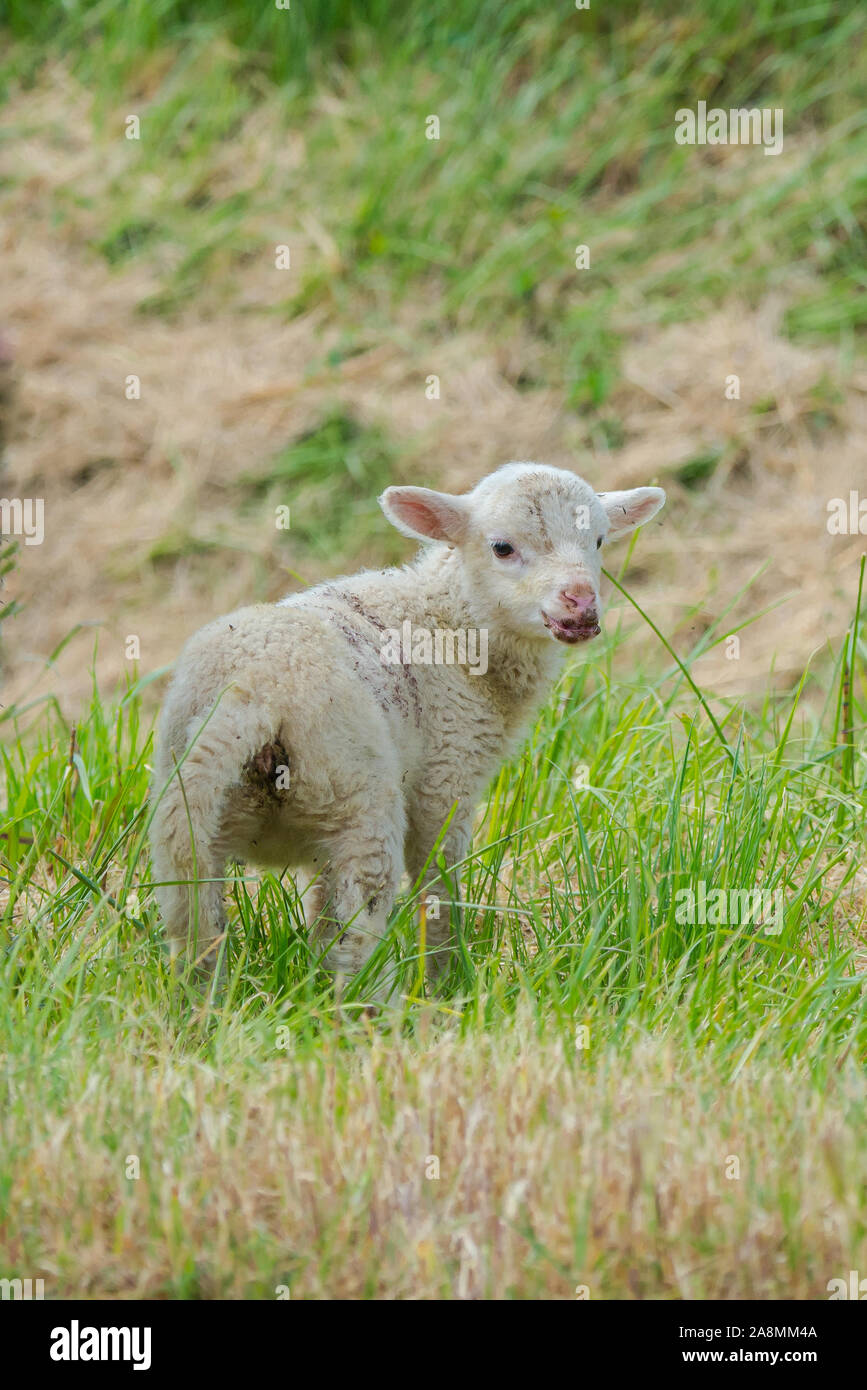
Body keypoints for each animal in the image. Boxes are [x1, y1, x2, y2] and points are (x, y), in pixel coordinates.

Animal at [148, 464, 664, 1000]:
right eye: (502, 547)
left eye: (599, 540)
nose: (581, 603)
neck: (451, 623)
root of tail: (252, 691)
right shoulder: (447, 772)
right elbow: (439, 884)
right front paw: (445, 981)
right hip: (358, 794)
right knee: (357, 931)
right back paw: (379, 1005)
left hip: (184, 809)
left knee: (196, 924)